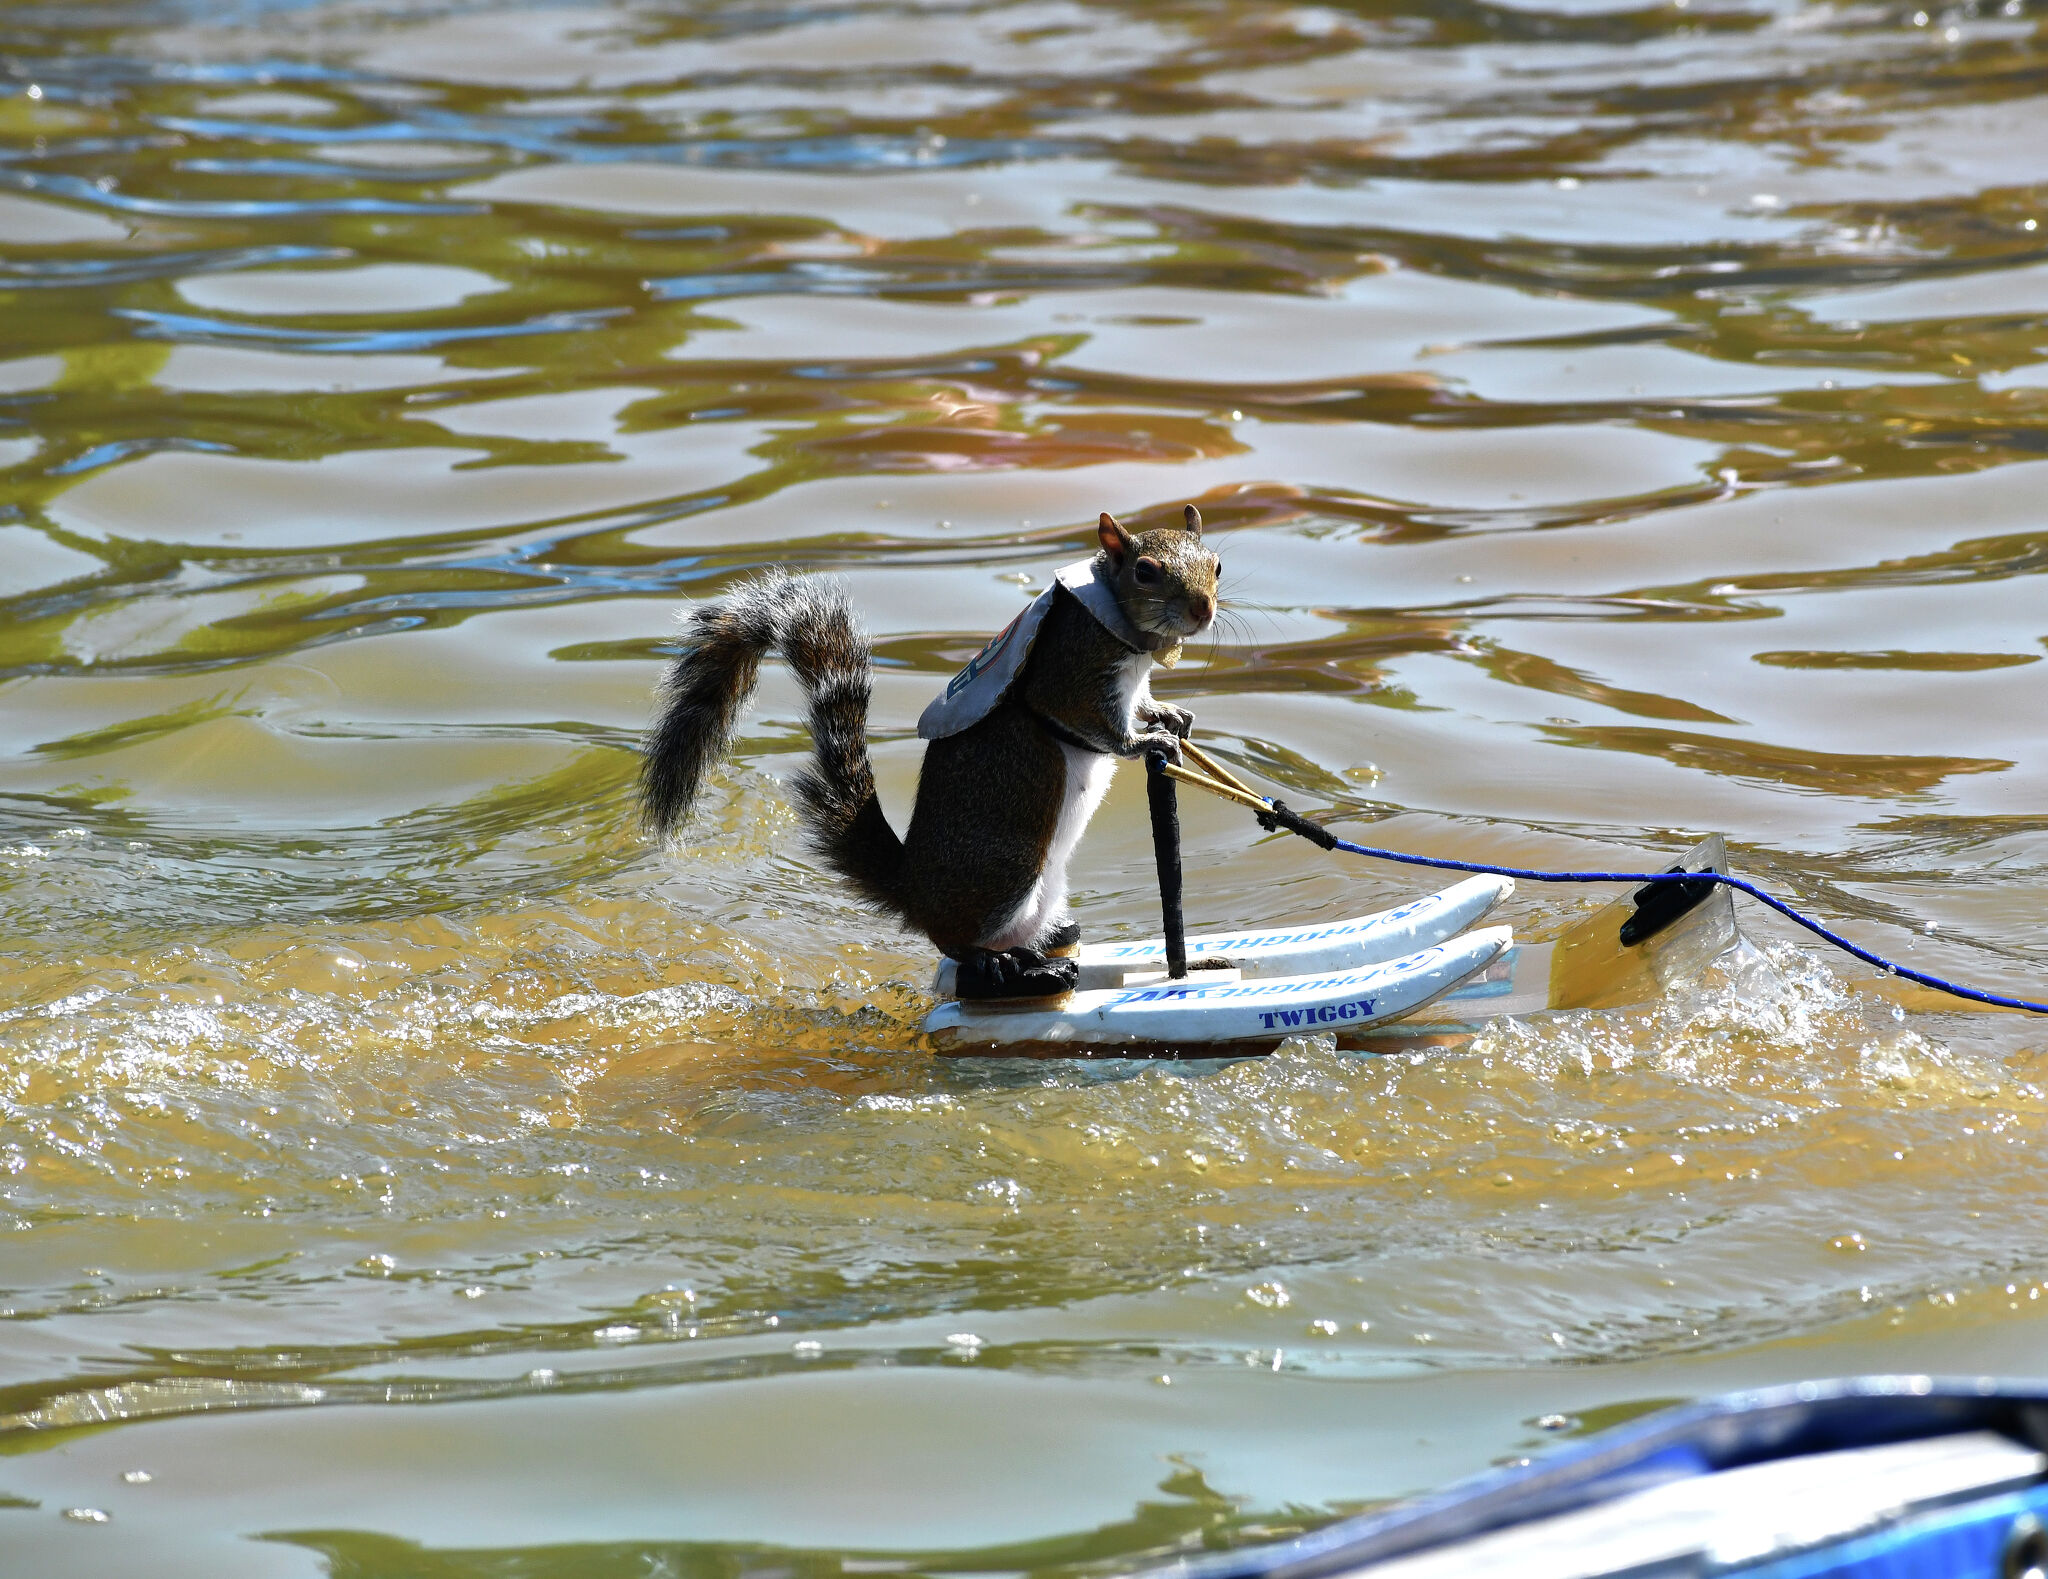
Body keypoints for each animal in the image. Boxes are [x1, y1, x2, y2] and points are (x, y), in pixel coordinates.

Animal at [640, 506, 1220, 999]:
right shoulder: (1070, 671)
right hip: (1006, 868)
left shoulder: (1129, 683)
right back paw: (999, 964)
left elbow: (1141, 702)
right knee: (957, 943)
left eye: (1216, 563)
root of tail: (911, 891)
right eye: (1145, 571)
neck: (1128, 630)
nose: (1203, 609)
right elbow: (1094, 726)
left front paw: (1170, 715)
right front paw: (1147, 741)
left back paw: (1039, 956)